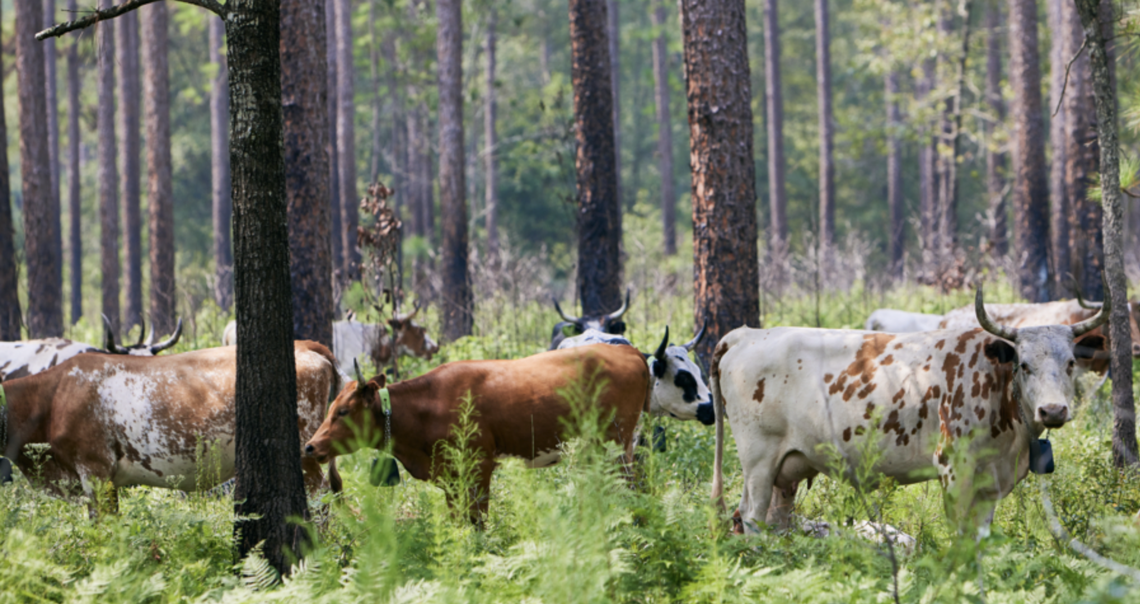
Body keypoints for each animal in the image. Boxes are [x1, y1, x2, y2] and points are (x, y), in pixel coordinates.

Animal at [304, 343, 650, 521]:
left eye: (343, 411)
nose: (310, 446)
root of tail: (629, 350)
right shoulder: (450, 476)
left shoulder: (480, 465)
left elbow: (478, 519)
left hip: (616, 444)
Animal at [709, 289, 1108, 537]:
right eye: (1024, 365)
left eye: (1071, 363)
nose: (1053, 409)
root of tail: (747, 334)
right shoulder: (953, 467)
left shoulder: (990, 481)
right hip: (758, 461)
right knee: (750, 516)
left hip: (786, 470)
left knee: (772, 520)